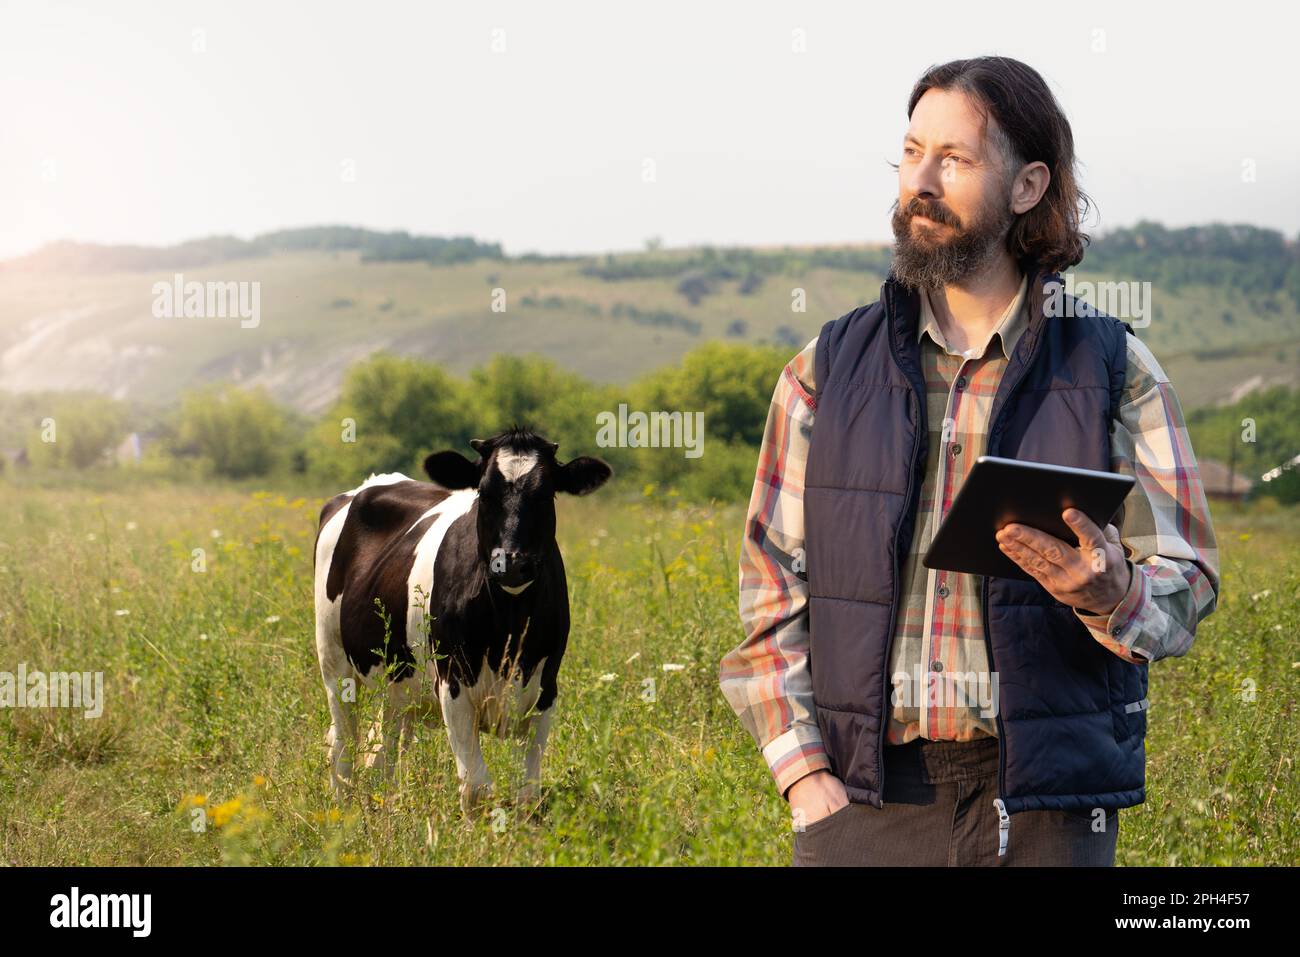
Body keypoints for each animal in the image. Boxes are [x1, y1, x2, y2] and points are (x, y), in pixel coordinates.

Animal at [313, 426, 613, 812]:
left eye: (546, 493)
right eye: (484, 492)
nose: (511, 563)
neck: (509, 624)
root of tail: (371, 483)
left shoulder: (546, 688)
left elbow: (528, 793)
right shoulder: (452, 683)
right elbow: (477, 789)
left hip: (397, 680)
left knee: (384, 748)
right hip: (334, 661)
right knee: (343, 742)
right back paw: (343, 809)